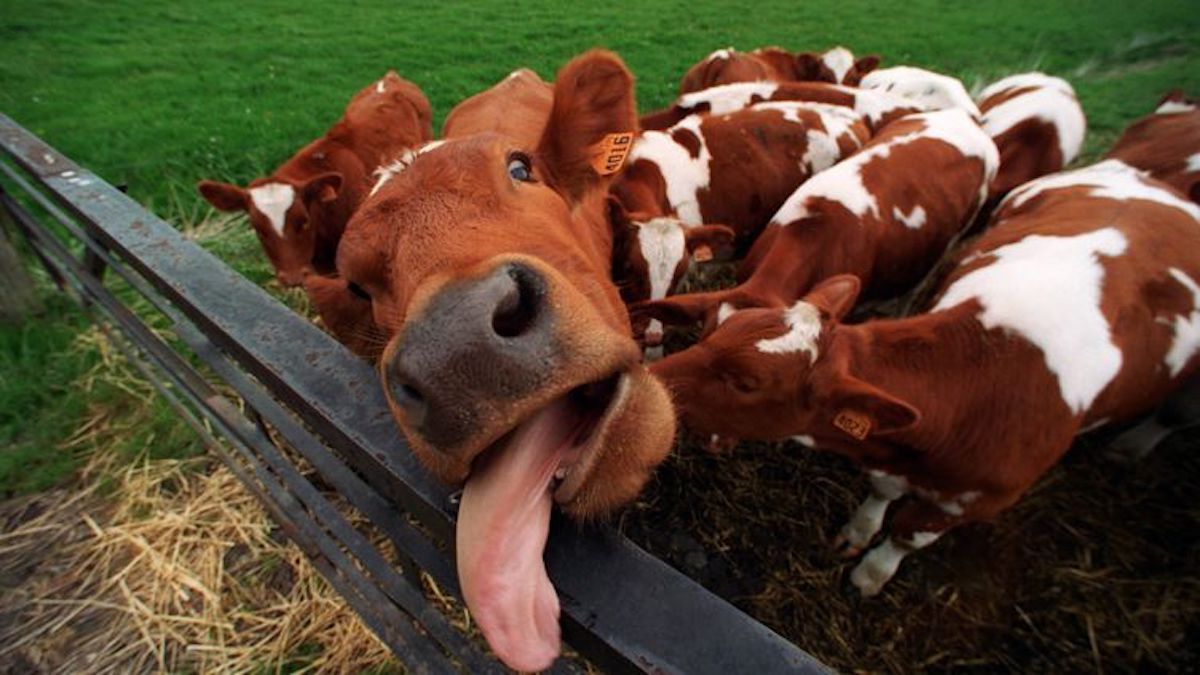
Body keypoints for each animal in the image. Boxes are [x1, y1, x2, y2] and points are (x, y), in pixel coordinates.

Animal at [648, 159, 1200, 597]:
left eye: (747, 382)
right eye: (706, 335)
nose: (651, 380)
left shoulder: (982, 498)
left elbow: (909, 532)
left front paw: (870, 575)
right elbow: (882, 491)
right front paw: (858, 531)